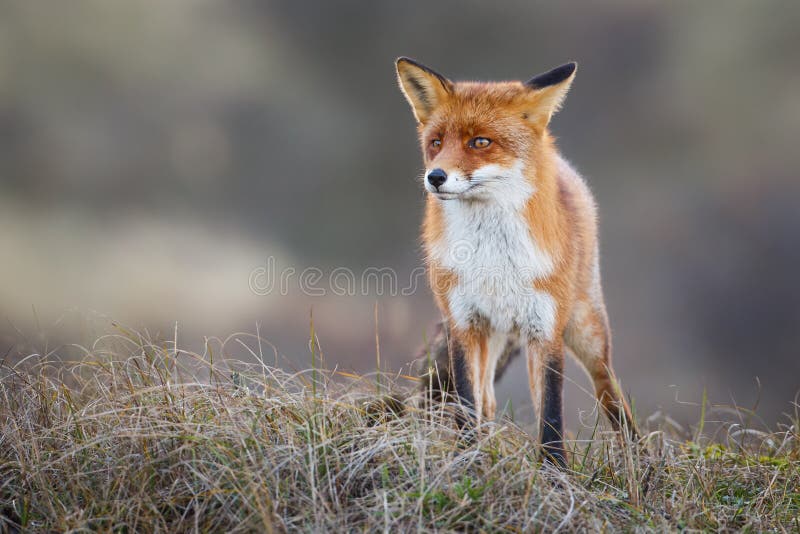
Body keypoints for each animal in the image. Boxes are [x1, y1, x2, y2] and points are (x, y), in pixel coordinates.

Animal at [396, 57, 637, 465]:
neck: (495, 261)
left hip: (587, 330)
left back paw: (643, 461)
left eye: (480, 142)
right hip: (492, 335)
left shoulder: (546, 328)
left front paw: (556, 471)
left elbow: (551, 413)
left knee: (612, 394)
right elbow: (466, 403)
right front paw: (468, 458)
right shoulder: (463, 323)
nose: (435, 177)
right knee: (488, 401)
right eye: (436, 143)